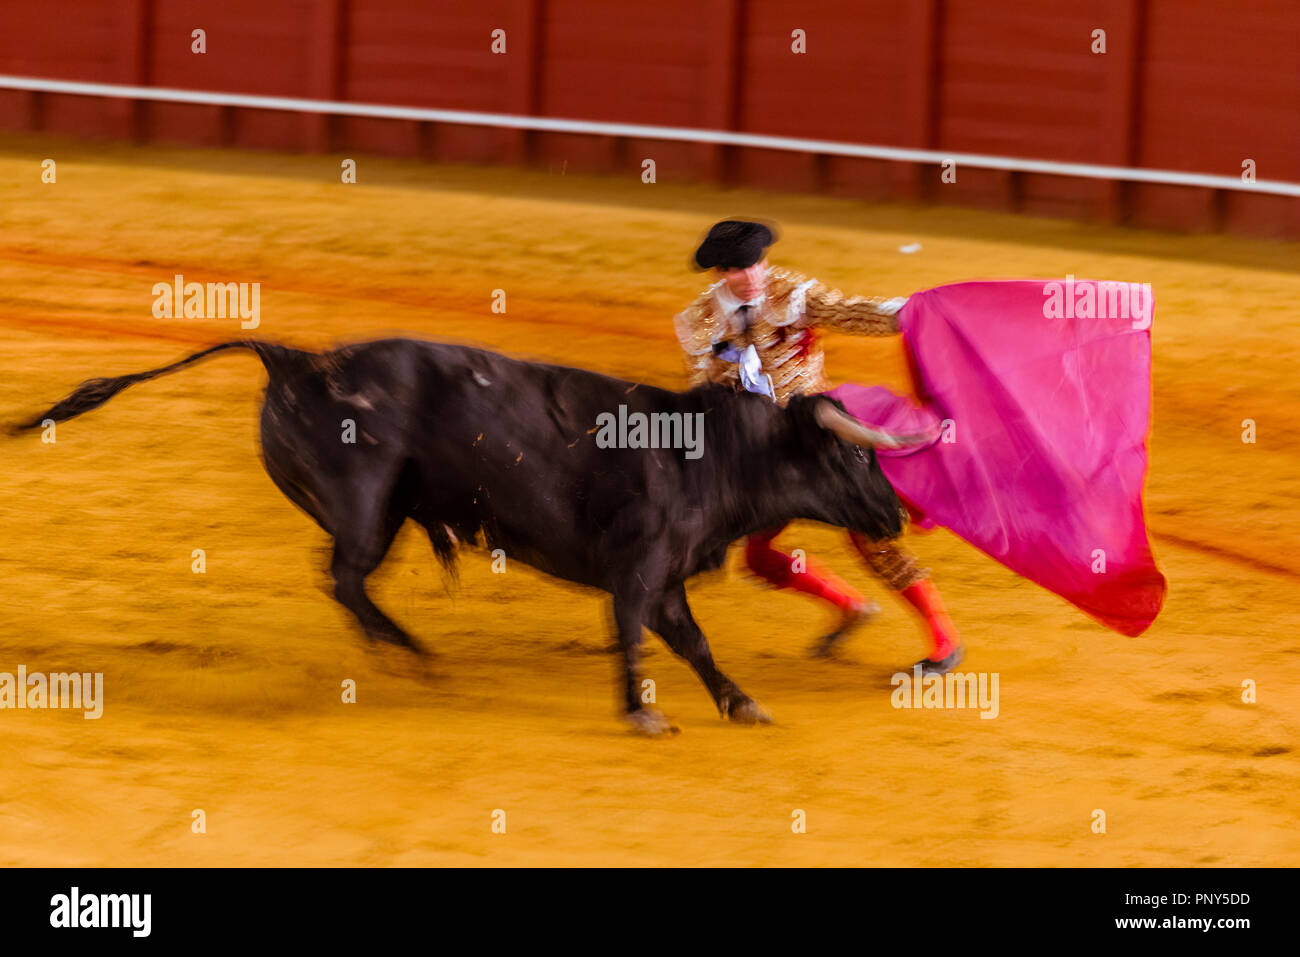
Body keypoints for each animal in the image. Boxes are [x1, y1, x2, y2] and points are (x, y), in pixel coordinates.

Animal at [14, 338, 910, 733]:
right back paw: (418, 657)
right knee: (344, 575)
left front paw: (739, 701)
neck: (710, 451)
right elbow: (637, 636)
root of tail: (297, 359)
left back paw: (404, 653)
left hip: (381, 511)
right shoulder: (639, 568)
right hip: (367, 501)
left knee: (347, 580)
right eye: (847, 452)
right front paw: (640, 711)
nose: (896, 514)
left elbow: (692, 642)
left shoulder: (665, 577)